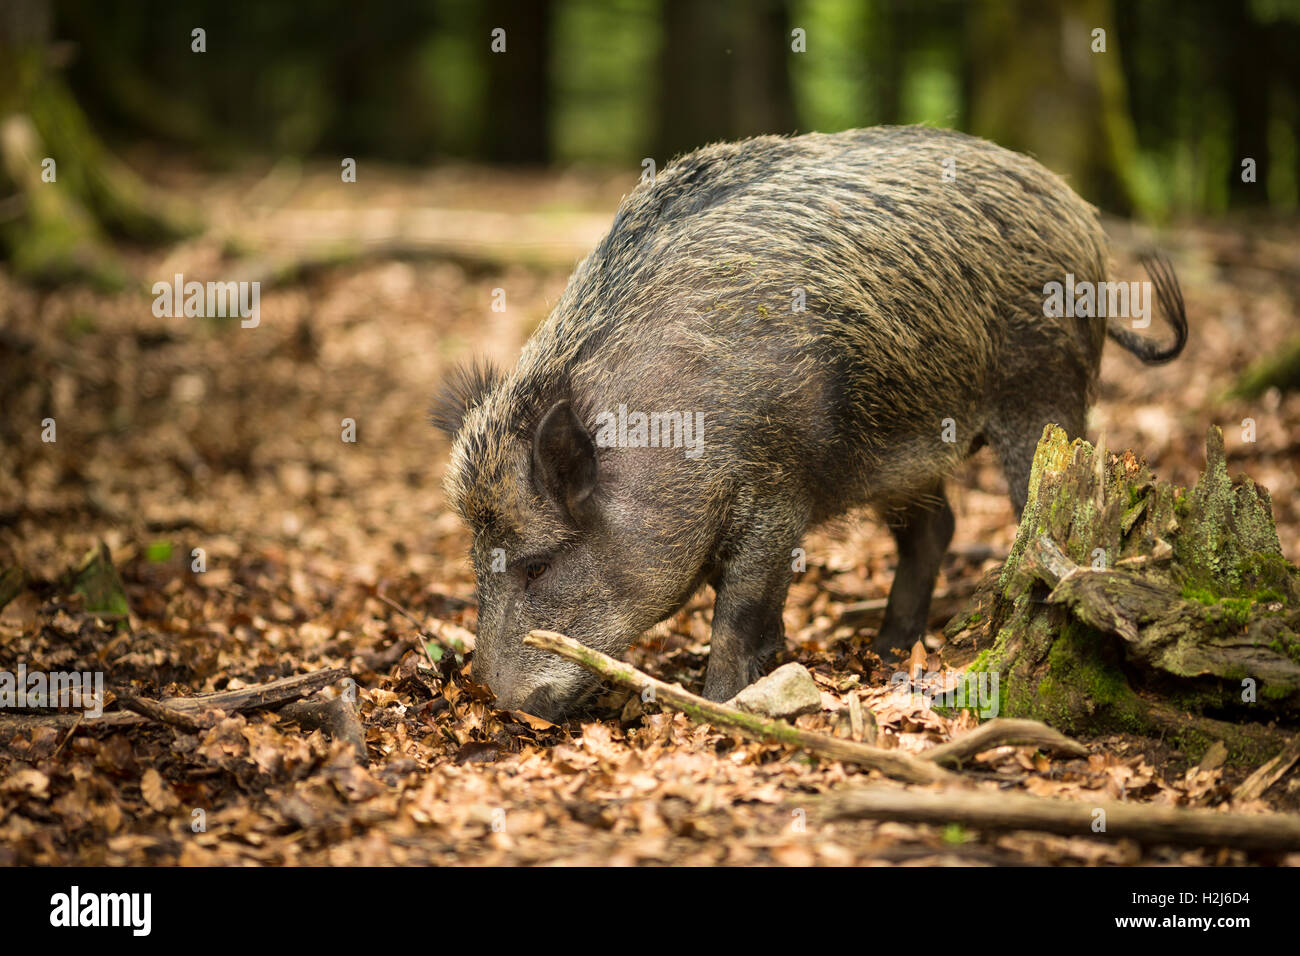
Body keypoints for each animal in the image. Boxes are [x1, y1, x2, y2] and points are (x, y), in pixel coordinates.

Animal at [431, 125, 1187, 721]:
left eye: (538, 564)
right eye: (477, 564)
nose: (498, 703)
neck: (670, 434)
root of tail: (1081, 215)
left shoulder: (777, 491)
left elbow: (738, 613)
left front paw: (721, 703)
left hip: (1045, 394)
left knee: (1032, 512)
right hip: (905, 455)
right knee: (936, 530)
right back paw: (887, 651)